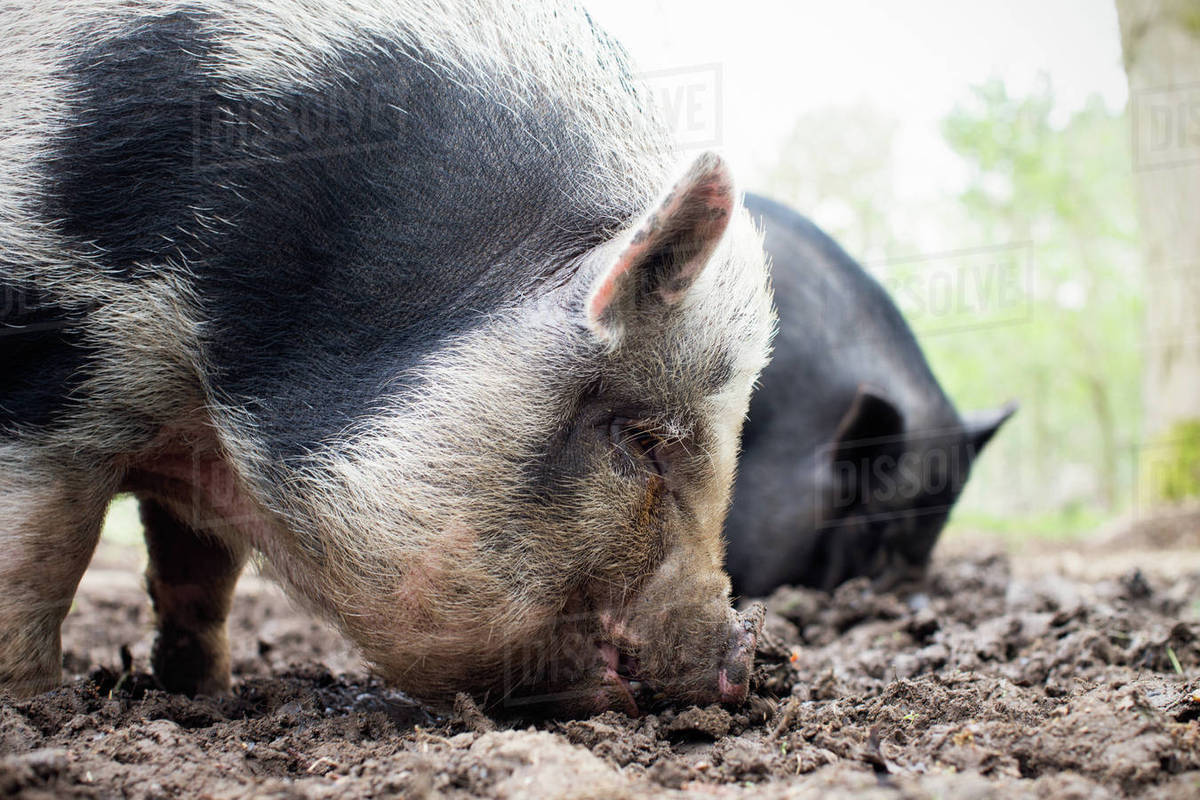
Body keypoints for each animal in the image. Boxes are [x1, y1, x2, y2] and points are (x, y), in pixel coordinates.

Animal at [0, 0, 774, 715]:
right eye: (642, 439)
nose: (743, 659)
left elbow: (201, 577)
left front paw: (209, 697)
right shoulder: (47, 369)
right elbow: (34, 565)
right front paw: (36, 705)